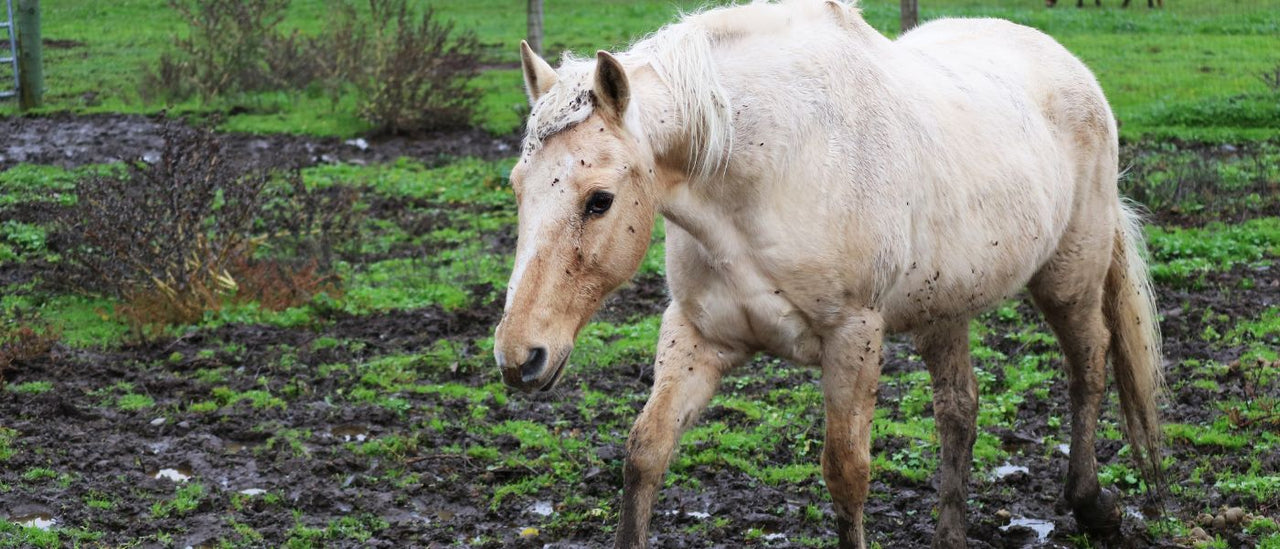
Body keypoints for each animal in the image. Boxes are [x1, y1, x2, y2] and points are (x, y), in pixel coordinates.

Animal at [493, 1, 1165, 547]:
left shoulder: (853, 336)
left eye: (599, 200)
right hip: (944, 308)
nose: (520, 357)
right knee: (959, 409)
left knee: (1089, 366)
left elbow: (846, 473)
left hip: (1069, 278)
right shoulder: (697, 336)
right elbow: (645, 451)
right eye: (517, 187)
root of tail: (1071, 68)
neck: (766, 168)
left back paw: (1093, 506)